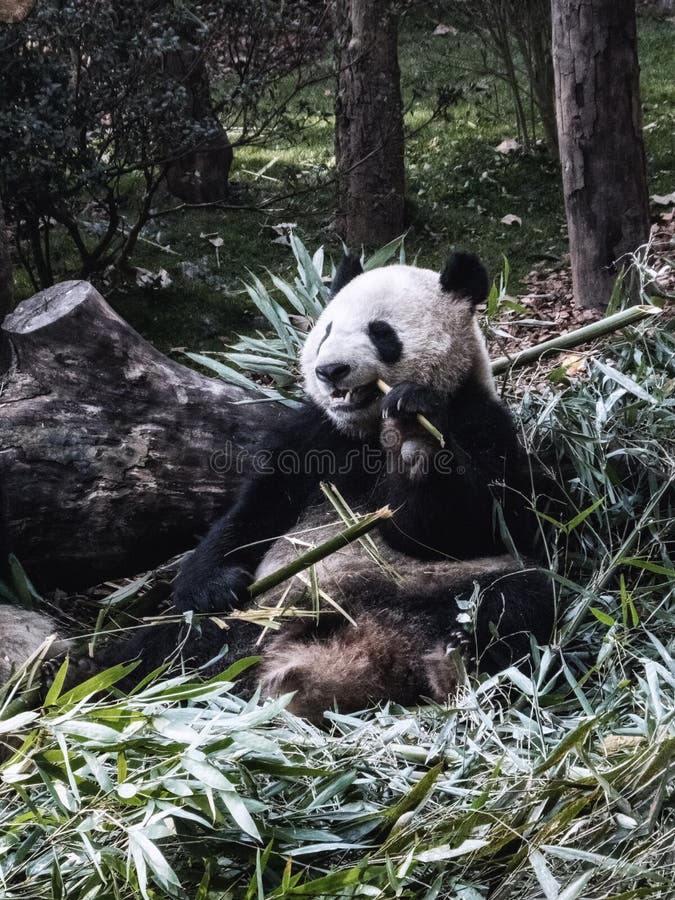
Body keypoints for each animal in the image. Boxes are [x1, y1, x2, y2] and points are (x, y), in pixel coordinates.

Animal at [98, 252, 555, 722]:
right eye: (327, 331)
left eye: (381, 332)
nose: (331, 370)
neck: (364, 431)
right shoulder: (311, 435)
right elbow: (255, 512)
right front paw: (213, 584)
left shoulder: (481, 421)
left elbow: (469, 524)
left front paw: (414, 436)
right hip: (257, 615)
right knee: (160, 649)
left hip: (449, 590)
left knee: (512, 600)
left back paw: (447, 665)